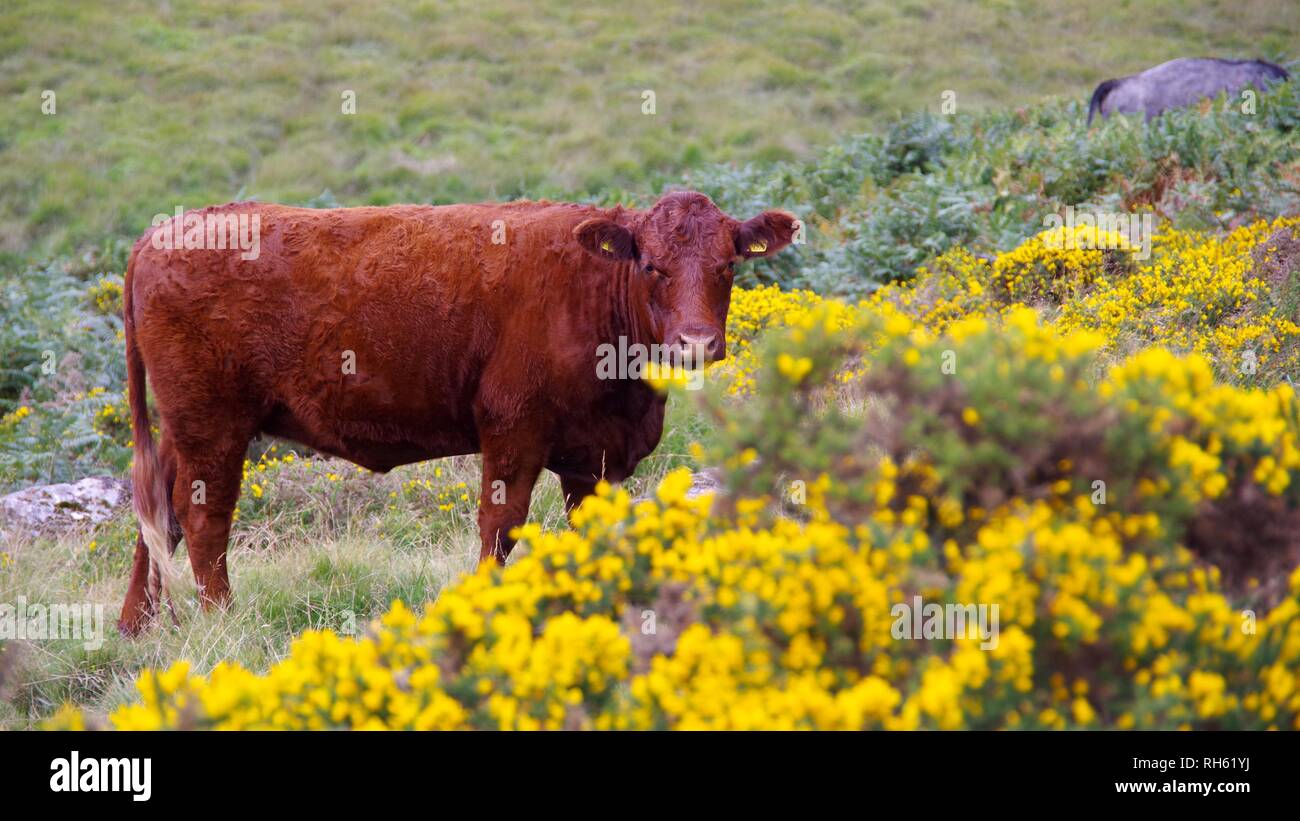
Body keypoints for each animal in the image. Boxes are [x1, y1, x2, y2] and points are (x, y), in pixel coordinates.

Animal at [118, 192, 797, 634]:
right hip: (213, 423)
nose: (695, 343)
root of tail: (163, 232)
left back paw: (135, 627)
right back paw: (221, 624)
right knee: (203, 519)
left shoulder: (596, 457)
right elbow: (501, 525)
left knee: (158, 517)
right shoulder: (513, 430)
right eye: (651, 265)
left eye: (728, 265)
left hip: (183, 427)